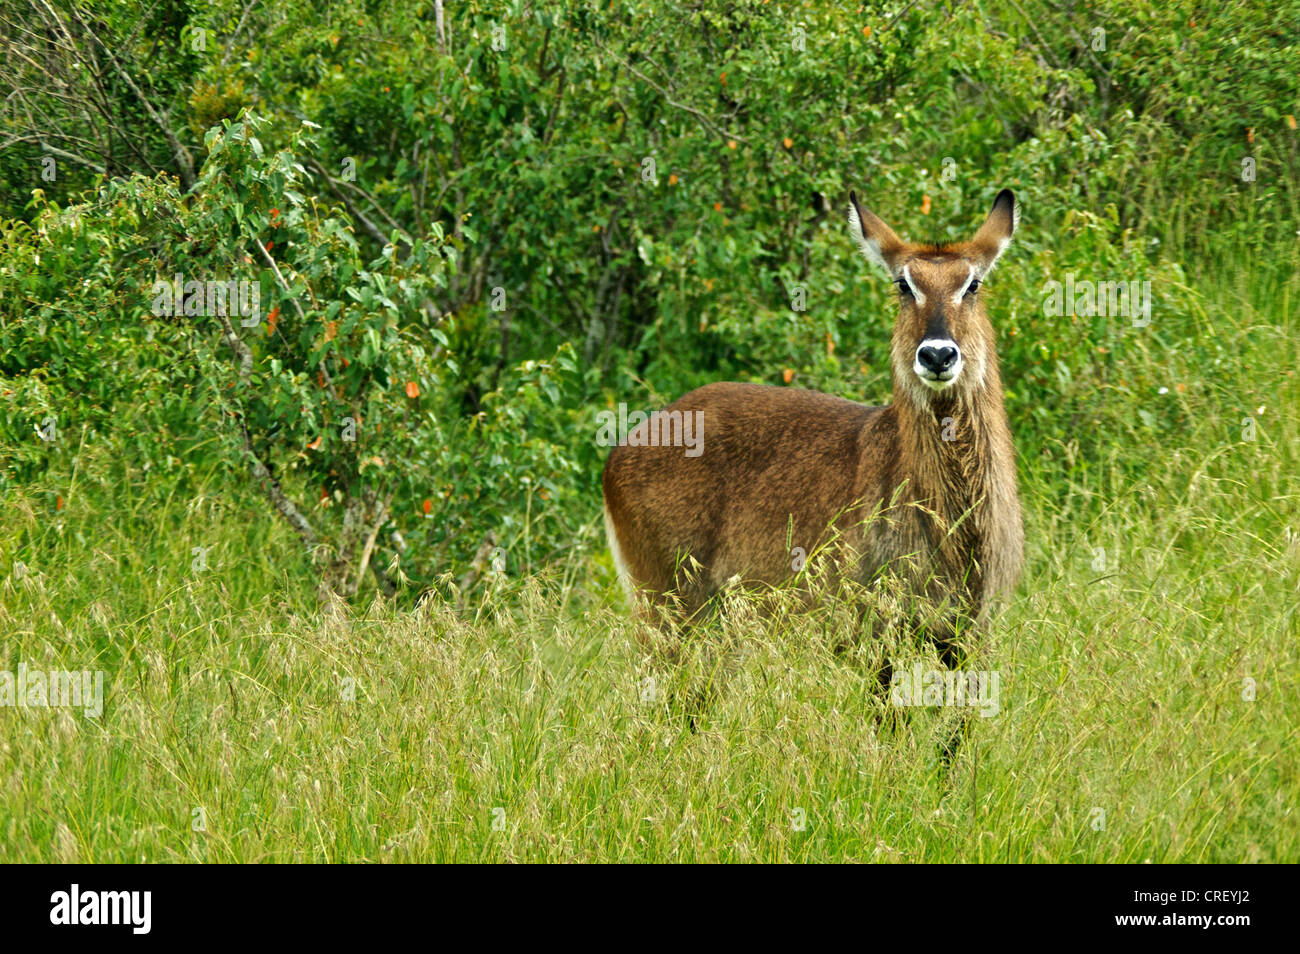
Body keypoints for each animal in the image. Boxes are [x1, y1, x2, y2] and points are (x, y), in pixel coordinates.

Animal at [602, 189, 1023, 670]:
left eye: (972, 284)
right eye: (903, 284)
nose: (937, 354)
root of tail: (617, 454)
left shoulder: (972, 633)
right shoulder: (872, 630)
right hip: (666, 608)